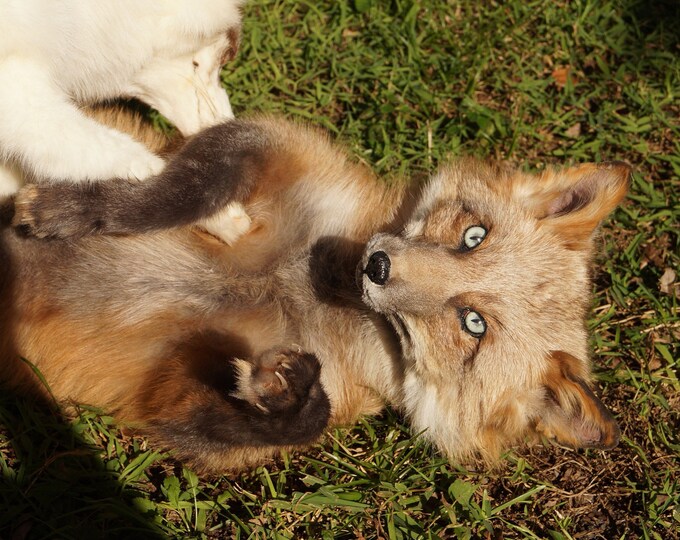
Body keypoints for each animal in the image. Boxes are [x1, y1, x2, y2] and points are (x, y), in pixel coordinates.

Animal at [0, 113, 629, 472]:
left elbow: (286, 421)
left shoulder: (171, 395)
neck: (301, 288)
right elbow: (180, 192)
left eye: (472, 324)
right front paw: (73, 209)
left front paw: (288, 394)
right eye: (473, 236)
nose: (377, 266)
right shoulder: (270, 146)